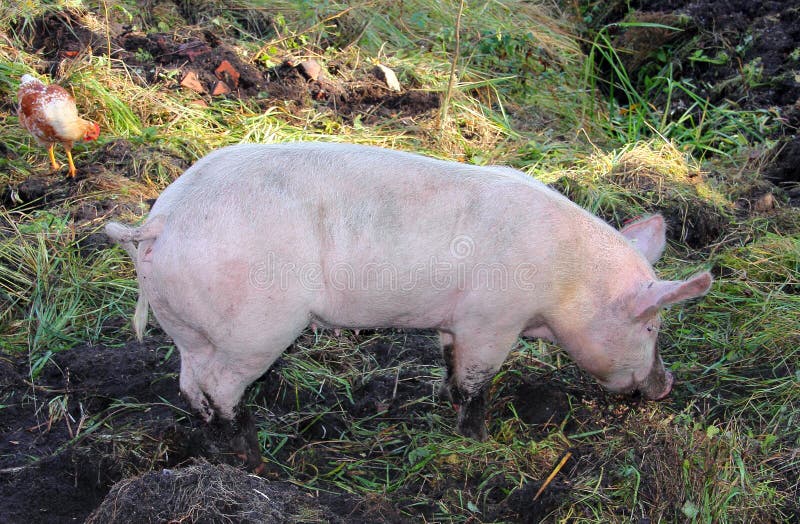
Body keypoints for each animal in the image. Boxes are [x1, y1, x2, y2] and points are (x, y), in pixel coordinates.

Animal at [105, 142, 712, 448]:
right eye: (652, 325)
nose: (665, 385)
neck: (566, 282)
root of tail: (158, 223)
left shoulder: (454, 320)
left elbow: (449, 363)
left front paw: (443, 400)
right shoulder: (492, 320)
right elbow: (475, 381)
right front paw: (477, 438)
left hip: (190, 327)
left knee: (189, 384)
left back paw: (218, 440)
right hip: (256, 327)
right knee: (219, 385)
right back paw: (247, 447)